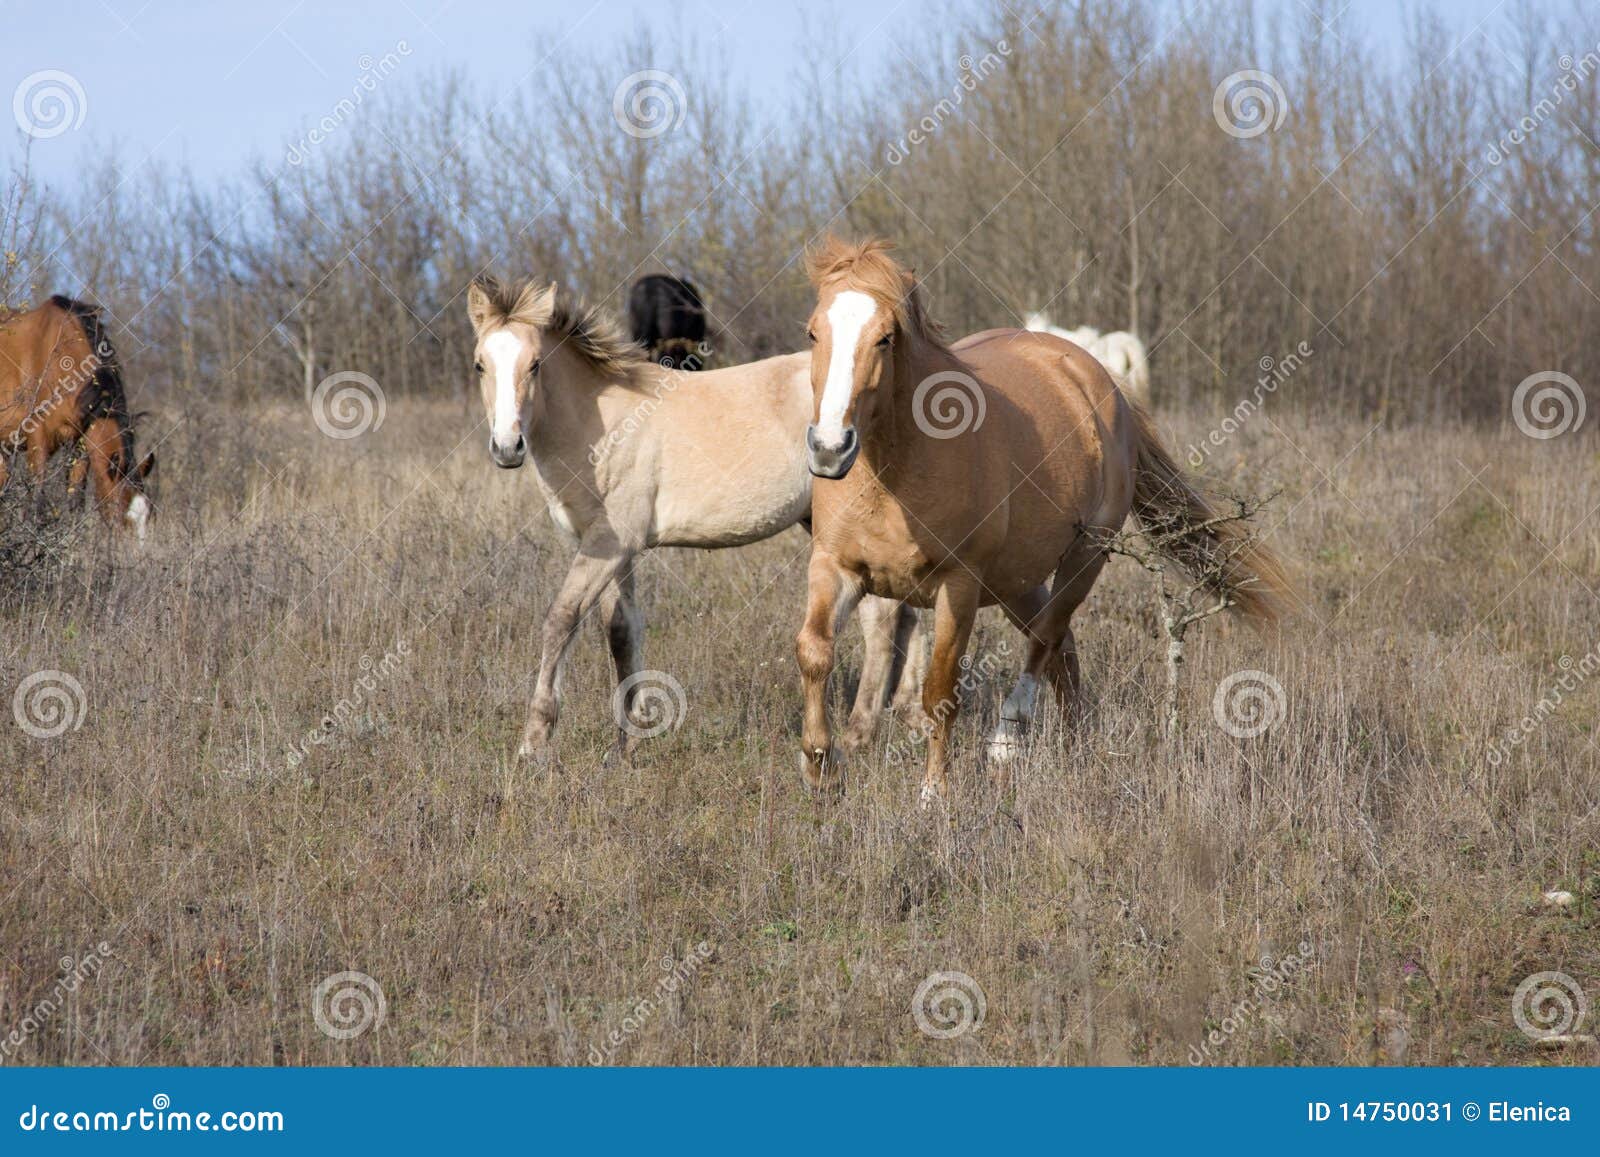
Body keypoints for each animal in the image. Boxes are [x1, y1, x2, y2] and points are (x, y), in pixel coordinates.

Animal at [0, 295, 155, 537]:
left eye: (149, 517)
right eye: (124, 517)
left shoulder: (79, 447)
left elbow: (75, 503)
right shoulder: (38, 443)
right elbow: (36, 502)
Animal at [466, 277, 923, 761]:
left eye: (535, 365)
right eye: (479, 365)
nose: (507, 446)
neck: (605, 425)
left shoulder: (607, 543)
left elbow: (561, 619)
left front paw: (533, 743)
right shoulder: (610, 549)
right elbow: (621, 632)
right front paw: (627, 743)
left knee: (883, 618)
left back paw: (859, 734)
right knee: (904, 611)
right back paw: (911, 717)